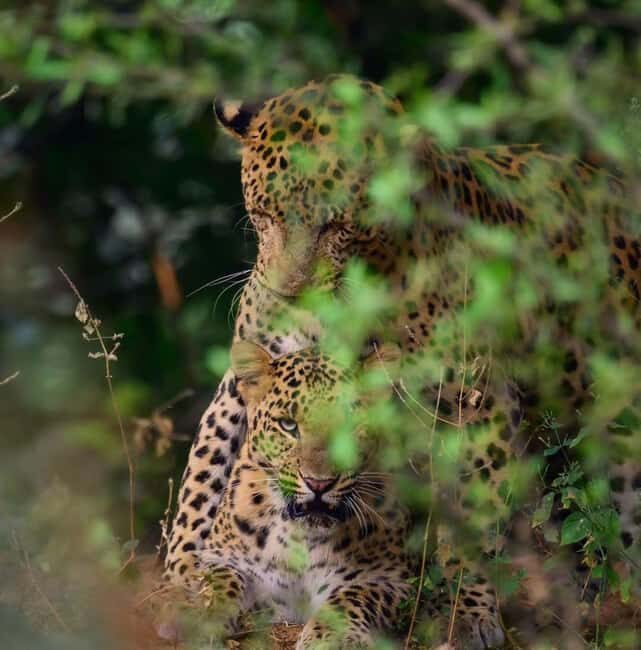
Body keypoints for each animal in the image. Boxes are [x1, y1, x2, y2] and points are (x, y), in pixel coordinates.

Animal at [165, 75, 641, 647]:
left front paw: (466, 610)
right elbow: (205, 467)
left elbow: (473, 504)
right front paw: (181, 579)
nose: (287, 295)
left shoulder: (468, 396)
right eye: (263, 216)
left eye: (335, 226)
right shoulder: (252, 372)